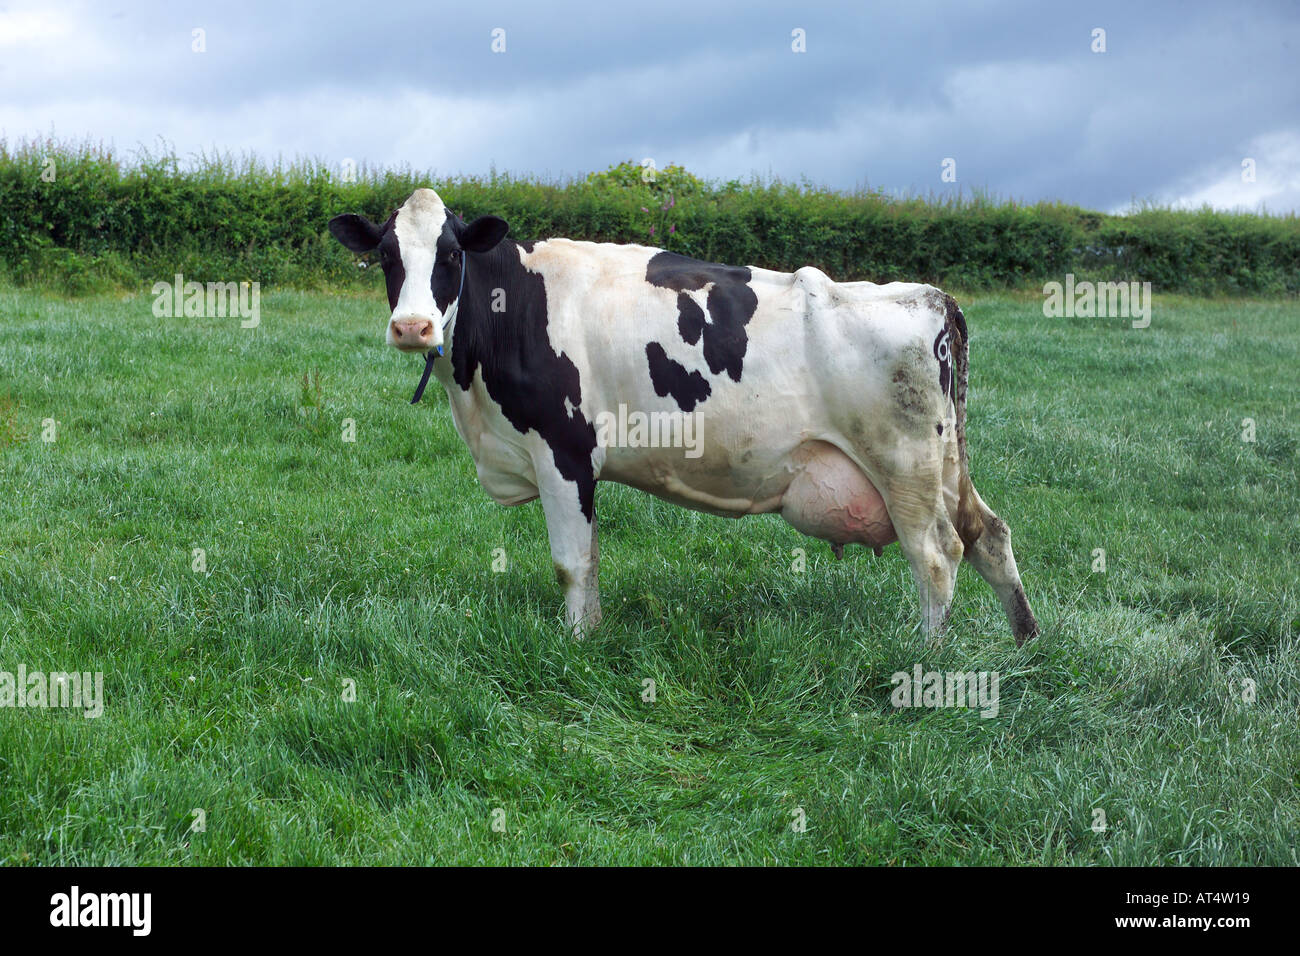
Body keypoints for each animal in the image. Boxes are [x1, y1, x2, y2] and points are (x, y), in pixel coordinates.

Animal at [328, 188, 1039, 644]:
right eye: (387, 256)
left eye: (451, 255)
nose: (413, 327)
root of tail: (932, 297)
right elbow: (589, 559)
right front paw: (593, 634)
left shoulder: (562, 449)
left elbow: (571, 562)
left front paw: (575, 645)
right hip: (943, 462)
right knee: (989, 534)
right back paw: (1026, 643)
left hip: (904, 465)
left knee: (938, 556)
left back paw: (926, 662)